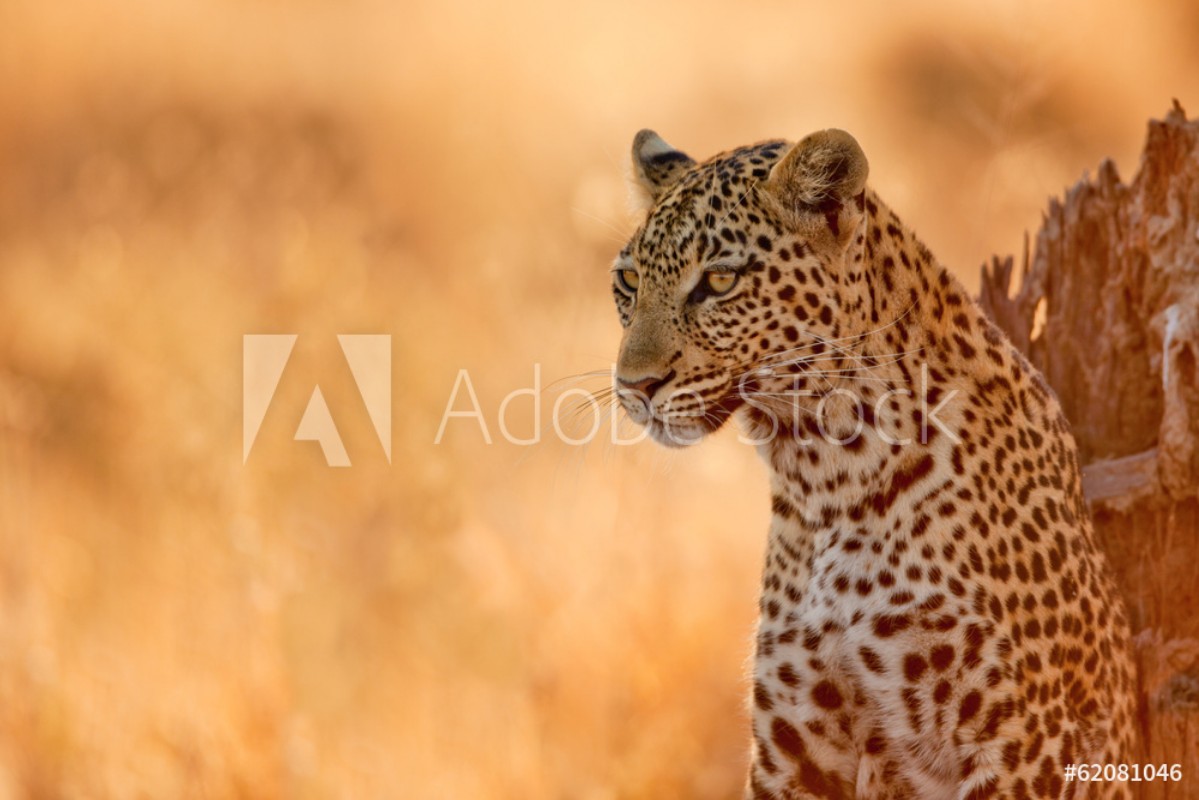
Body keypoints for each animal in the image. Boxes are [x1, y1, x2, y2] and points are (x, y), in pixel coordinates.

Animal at [607, 127, 1140, 799]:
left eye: (720, 282)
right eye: (628, 280)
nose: (634, 385)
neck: (821, 472)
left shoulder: (1025, 744)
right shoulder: (795, 748)